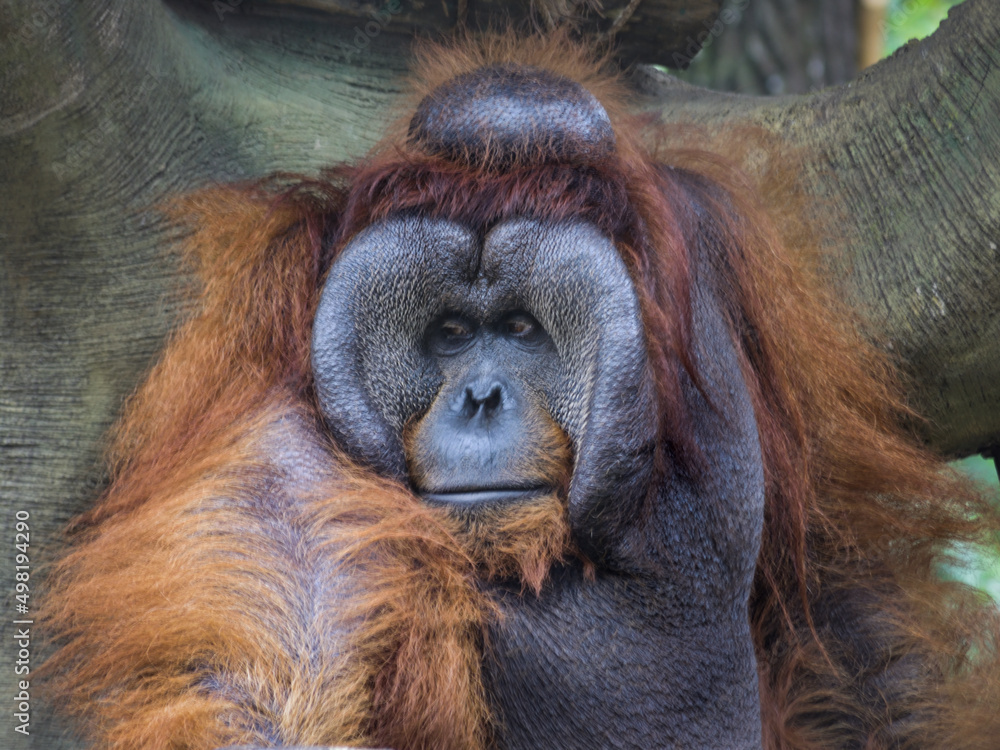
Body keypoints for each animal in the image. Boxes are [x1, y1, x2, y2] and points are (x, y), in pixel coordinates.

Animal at [40, 33, 1000, 750]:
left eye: (522, 329)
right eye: (449, 335)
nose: (480, 398)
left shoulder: (731, 266)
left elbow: (836, 587)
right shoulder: (269, 318)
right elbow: (277, 525)